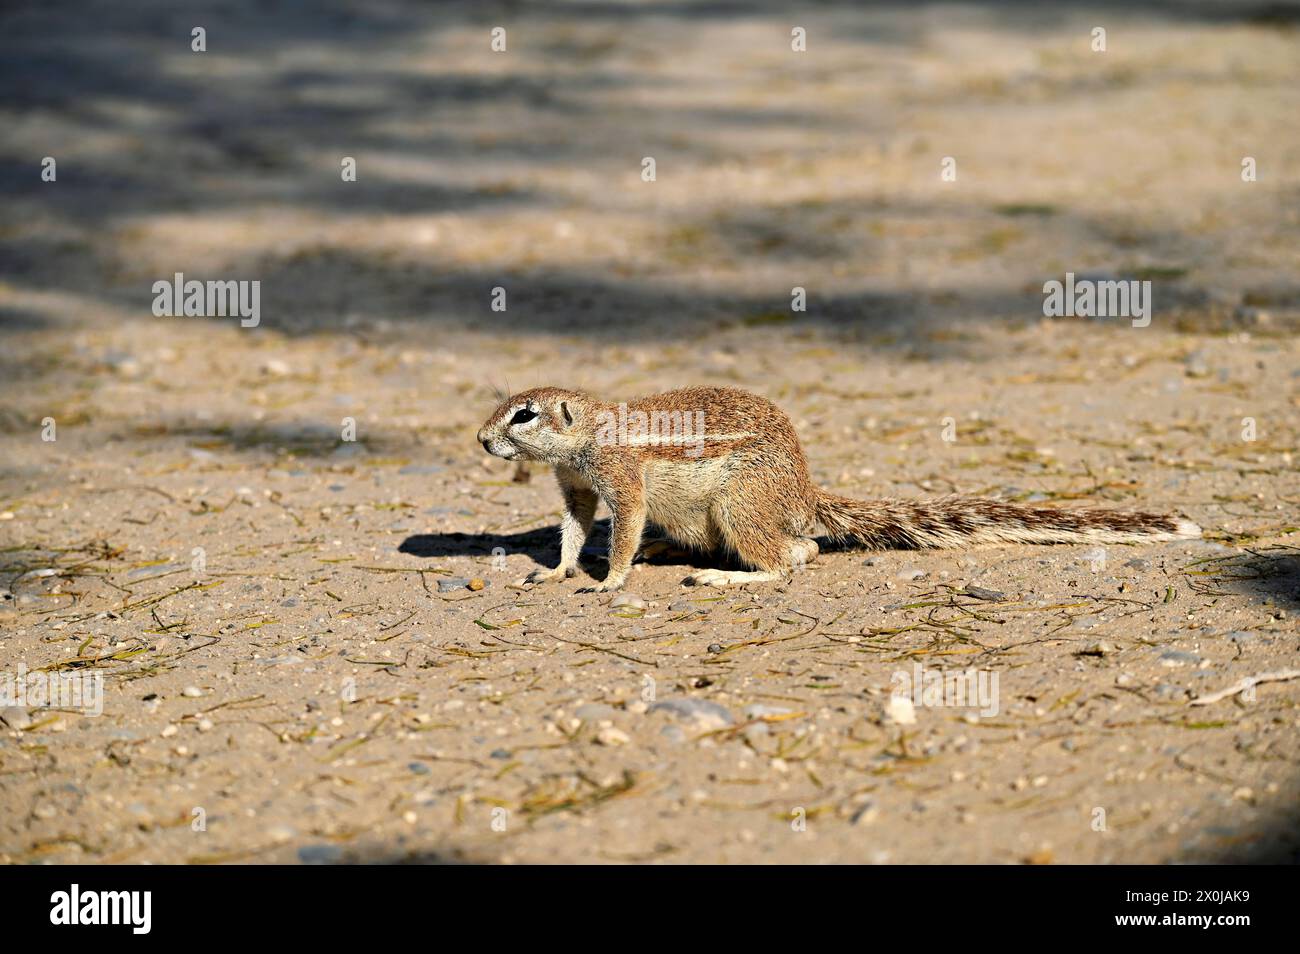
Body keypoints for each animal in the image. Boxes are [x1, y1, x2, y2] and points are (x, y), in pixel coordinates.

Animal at [477, 386, 1202, 591]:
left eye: (525, 415)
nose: (482, 439)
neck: (592, 429)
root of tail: (805, 492)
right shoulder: (576, 484)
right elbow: (576, 526)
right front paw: (559, 570)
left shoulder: (621, 477)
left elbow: (624, 524)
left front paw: (612, 580)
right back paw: (673, 552)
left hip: (739, 505)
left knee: (795, 555)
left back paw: (725, 576)